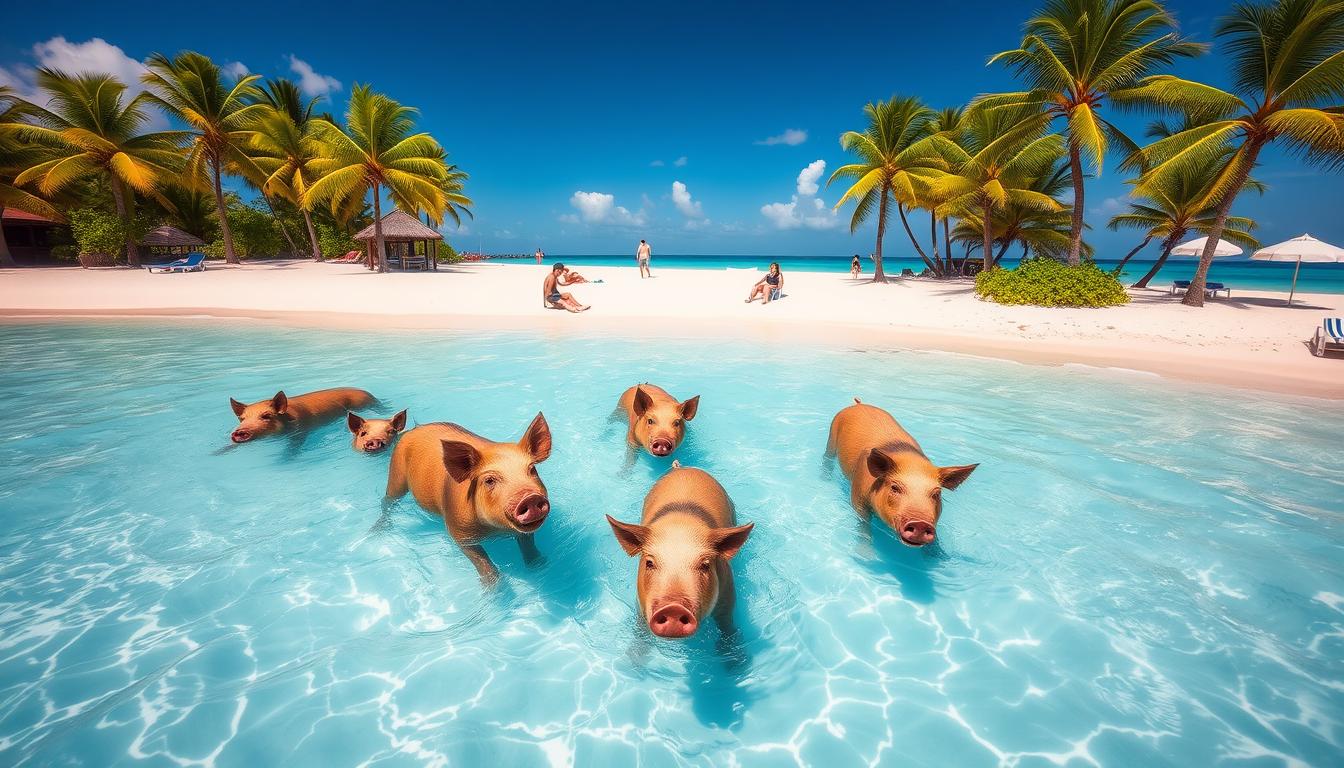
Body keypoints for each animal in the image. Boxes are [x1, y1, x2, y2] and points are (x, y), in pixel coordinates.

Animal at [384, 413, 553, 586]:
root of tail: (416, 428)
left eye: (532, 469)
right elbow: (480, 559)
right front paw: (492, 588)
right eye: (489, 480)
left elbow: (527, 543)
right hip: (396, 472)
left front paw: (539, 564)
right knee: (388, 500)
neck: (495, 529)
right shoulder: (458, 532)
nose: (530, 497)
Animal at [606, 462, 753, 639]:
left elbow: (727, 627)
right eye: (649, 563)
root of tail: (681, 468)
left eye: (705, 565)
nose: (673, 608)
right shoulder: (640, 604)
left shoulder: (727, 597)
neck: (681, 523)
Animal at [826, 398, 977, 547]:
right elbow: (863, 526)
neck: (911, 463)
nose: (921, 523)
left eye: (936, 494)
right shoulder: (857, 496)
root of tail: (858, 404)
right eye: (895, 488)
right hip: (832, 435)